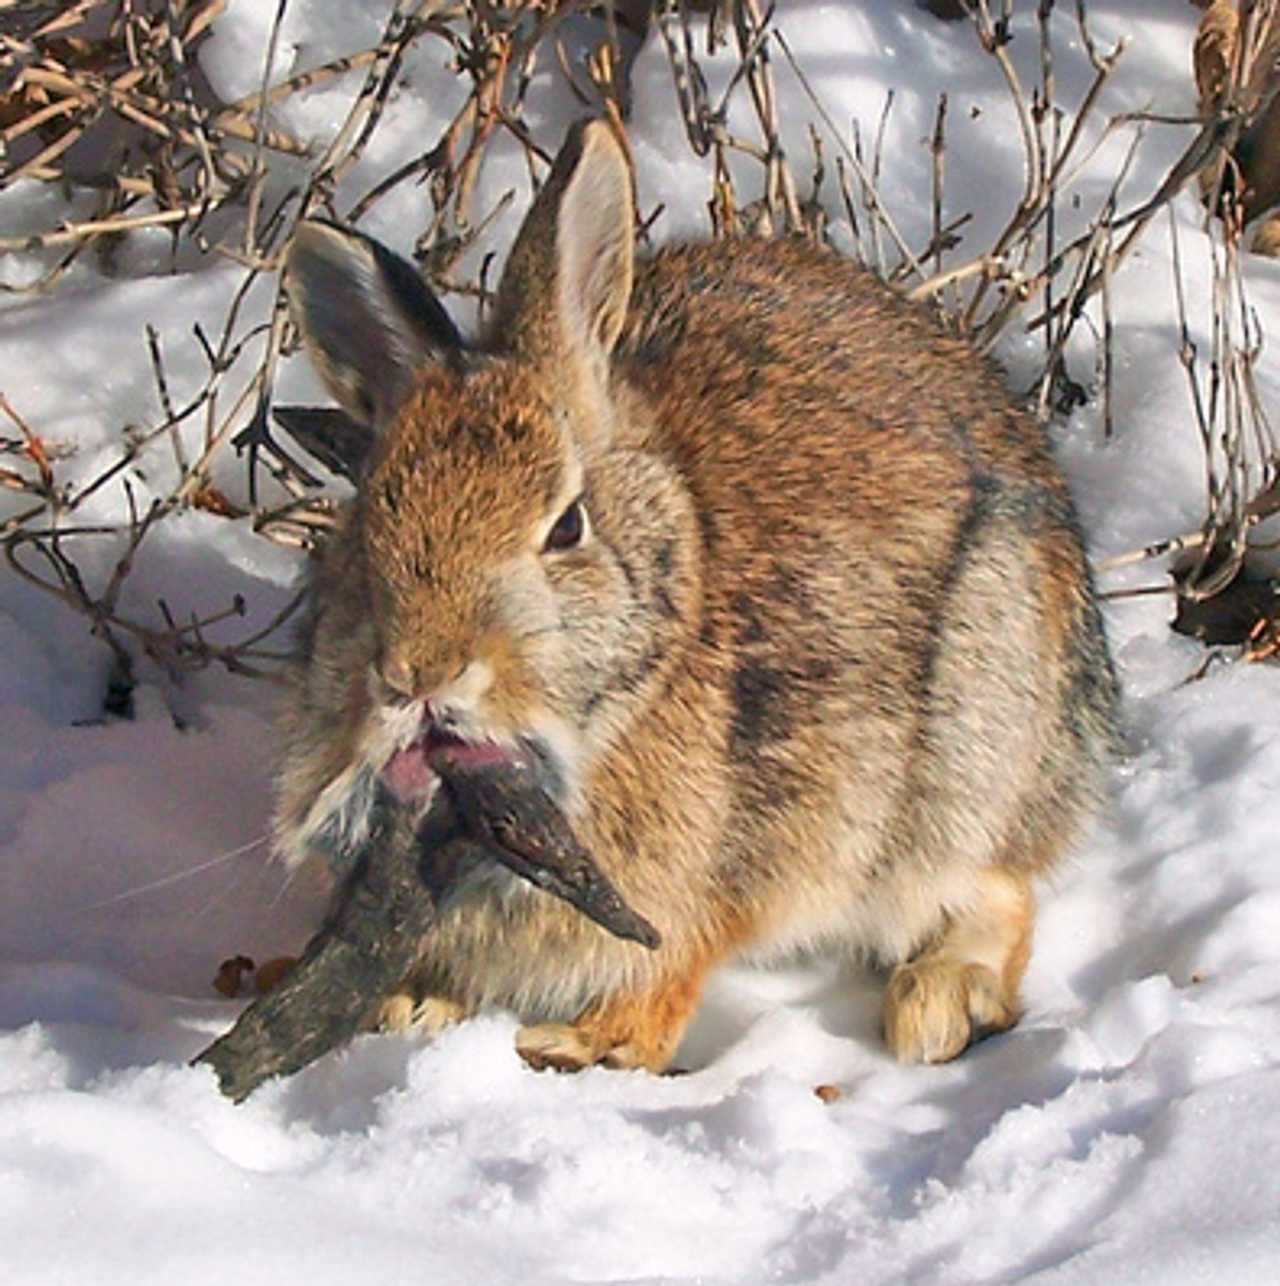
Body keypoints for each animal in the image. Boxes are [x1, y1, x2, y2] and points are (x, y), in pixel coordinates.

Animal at [272, 117, 1118, 1073]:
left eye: (566, 528)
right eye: (365, 524)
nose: (421, 675)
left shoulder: (732, 867)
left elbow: (673, 964)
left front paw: (585, 1046)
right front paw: (414, 1005)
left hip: (974, 739)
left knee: (995, 887)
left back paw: (941, 1004)